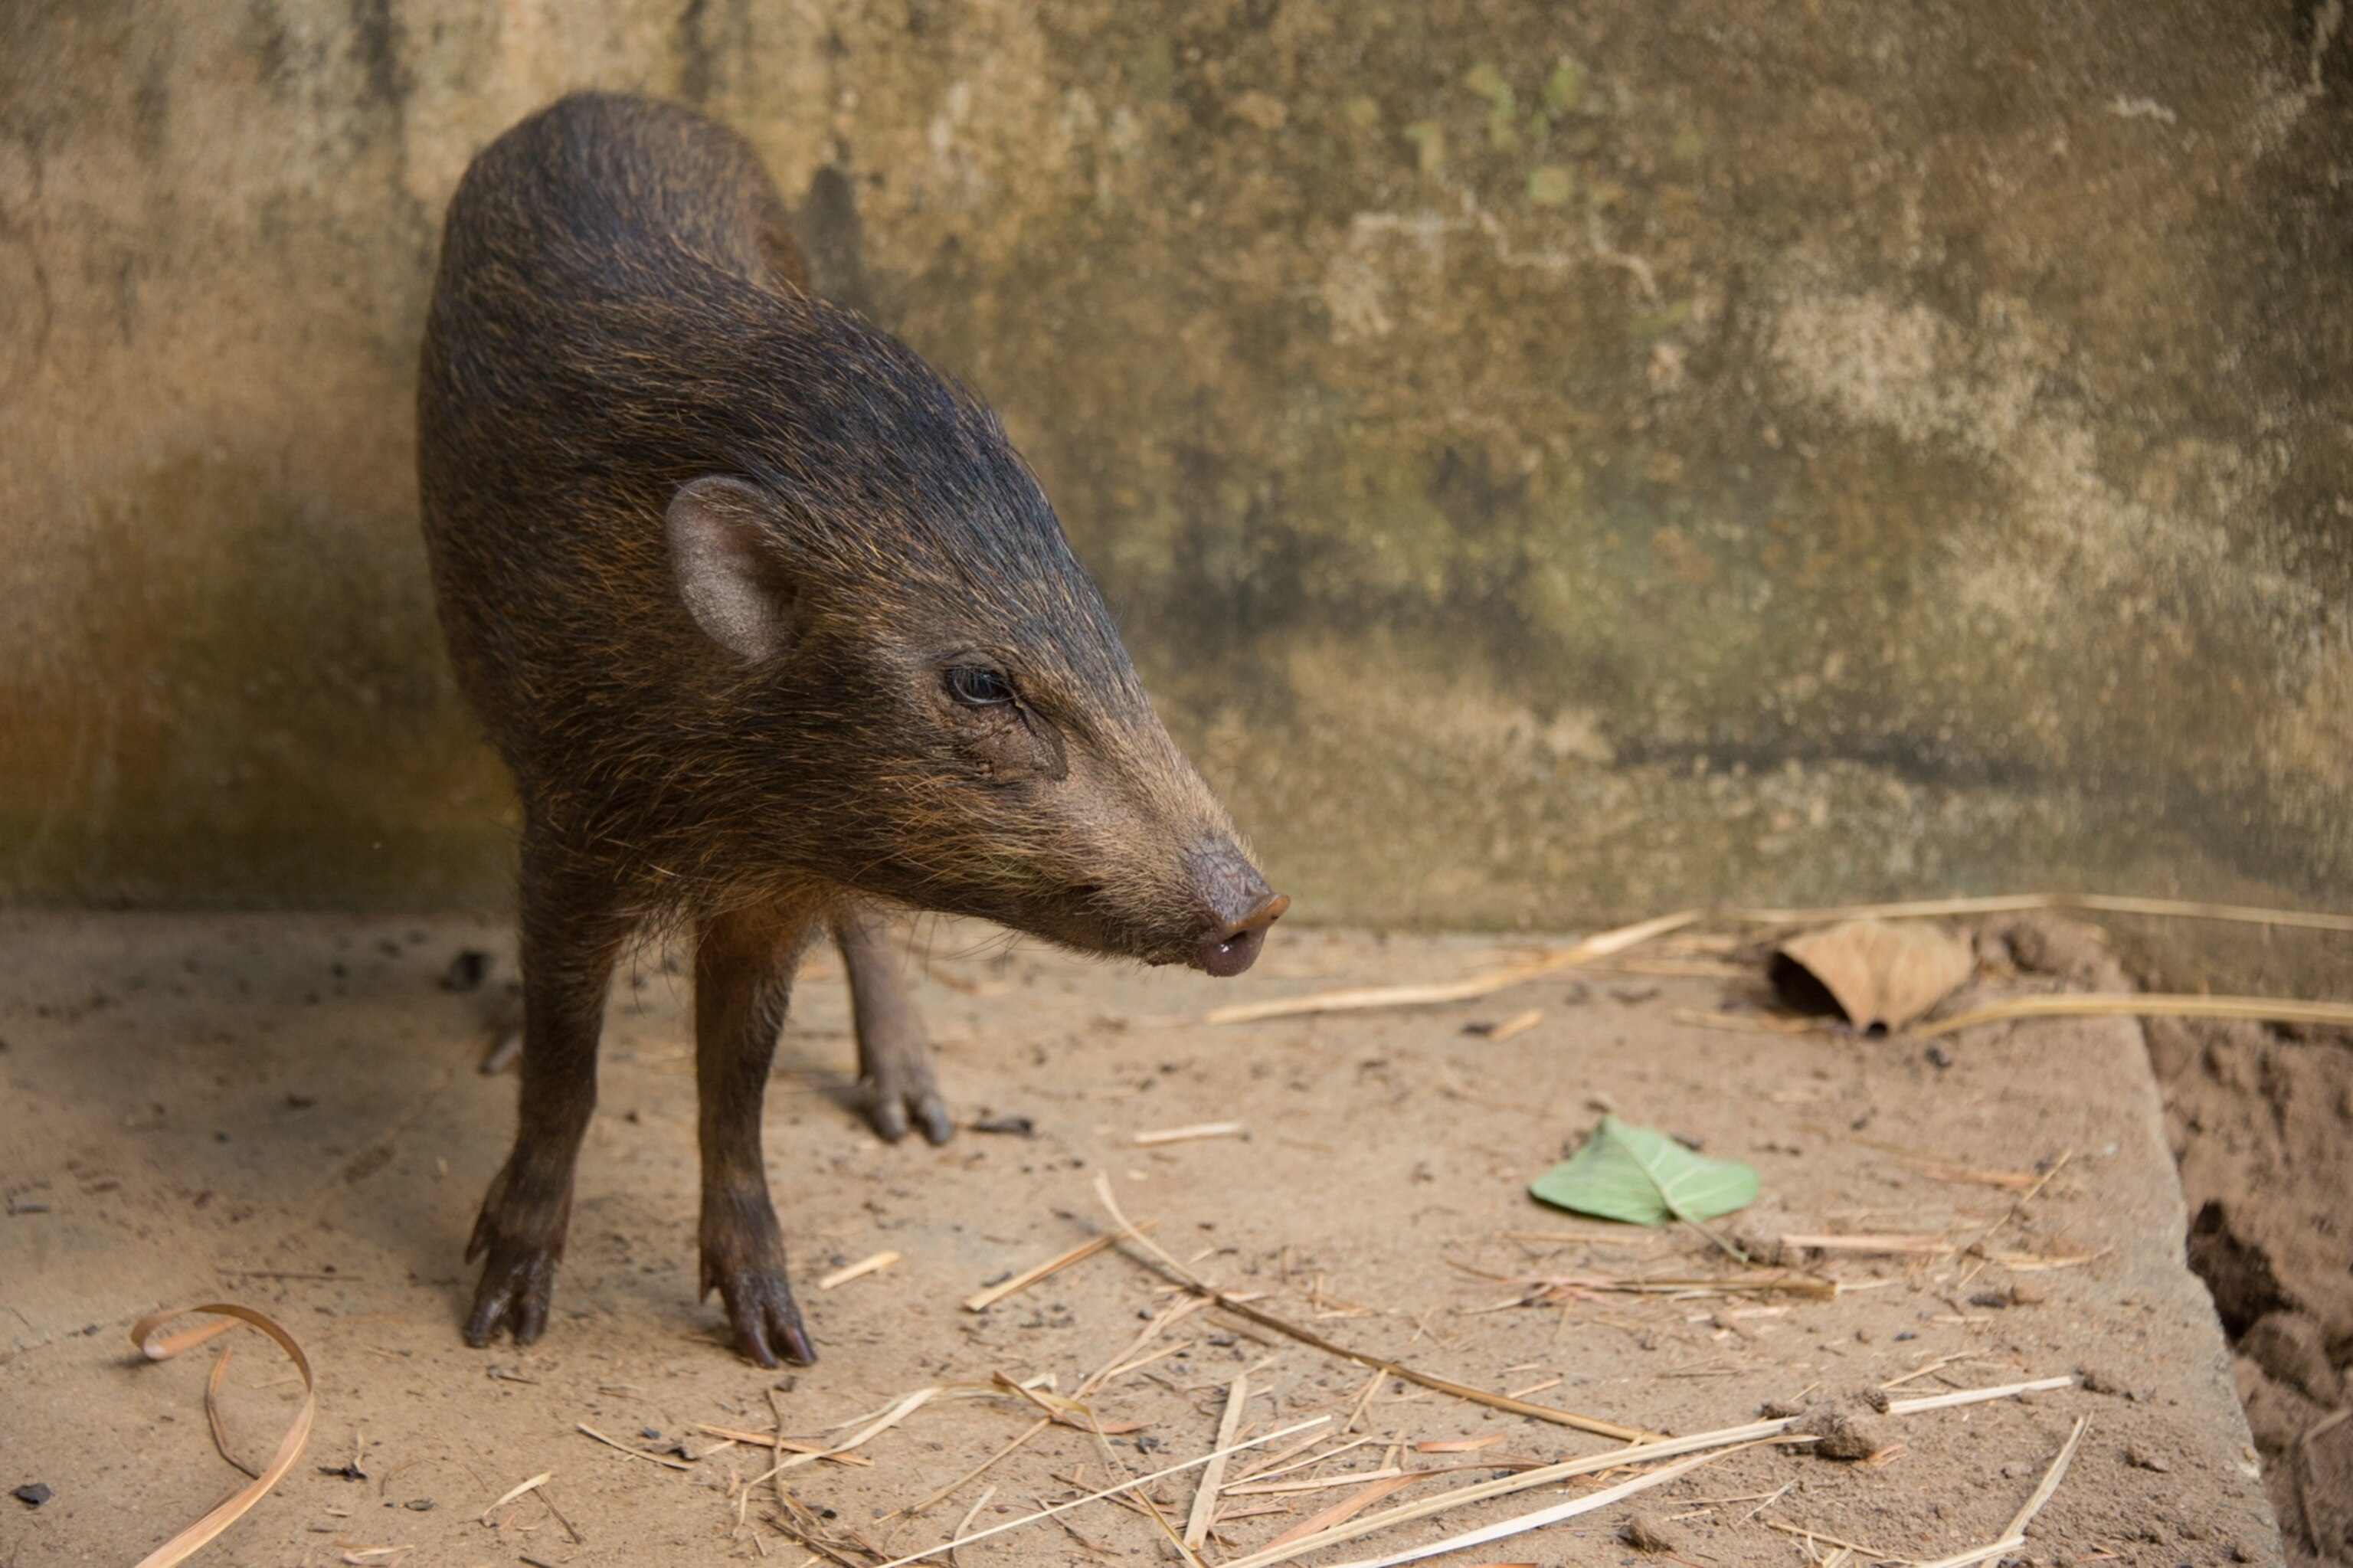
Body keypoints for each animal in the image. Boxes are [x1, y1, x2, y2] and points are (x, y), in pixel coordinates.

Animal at [416, 93, 1286, 1366]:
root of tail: (613, 99)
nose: (1259, 906)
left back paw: (919, 1114)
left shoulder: (774, 889)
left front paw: (779, 1339)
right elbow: (567, 1064)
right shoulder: (574, 829)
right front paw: (501, 1318)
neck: (733, 798)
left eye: (1105, 632)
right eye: (979, 681)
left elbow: (739, 1078)